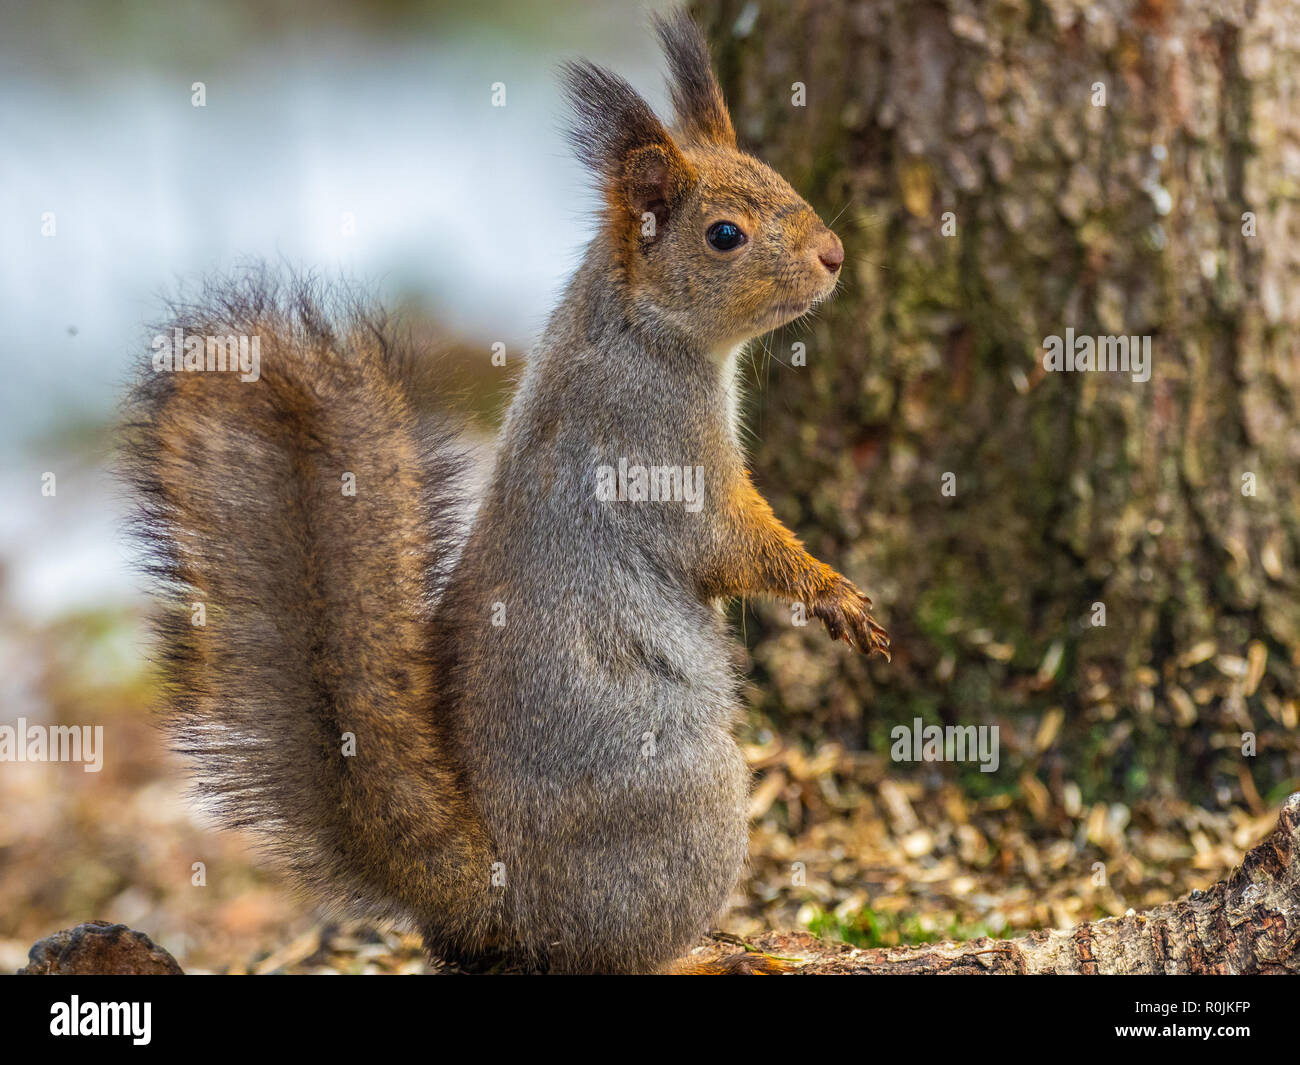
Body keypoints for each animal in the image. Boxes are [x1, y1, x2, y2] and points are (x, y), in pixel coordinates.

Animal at [124, 11, 889, 975]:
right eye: (725, 235)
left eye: (780, 177)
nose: (835, 255)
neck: (645, 329)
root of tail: (495, 902)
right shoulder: (656, 447)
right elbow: (732, 544)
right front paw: (831, 592)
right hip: (694, 805)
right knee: (618, 955)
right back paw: (710, 952)